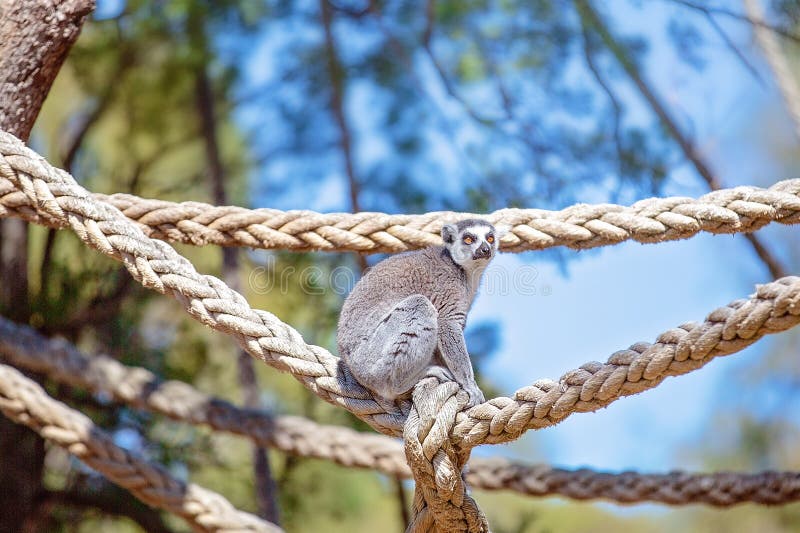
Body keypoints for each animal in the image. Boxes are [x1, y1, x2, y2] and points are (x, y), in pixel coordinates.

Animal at [337, 219, 503, 407]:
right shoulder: (448, 286)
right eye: (468, 239)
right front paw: (470, 385)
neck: (464, 270)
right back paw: (403, 382)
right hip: (372, 360)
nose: (485, 249)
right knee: (419, 305)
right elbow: (448, 324)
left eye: (490, 238)